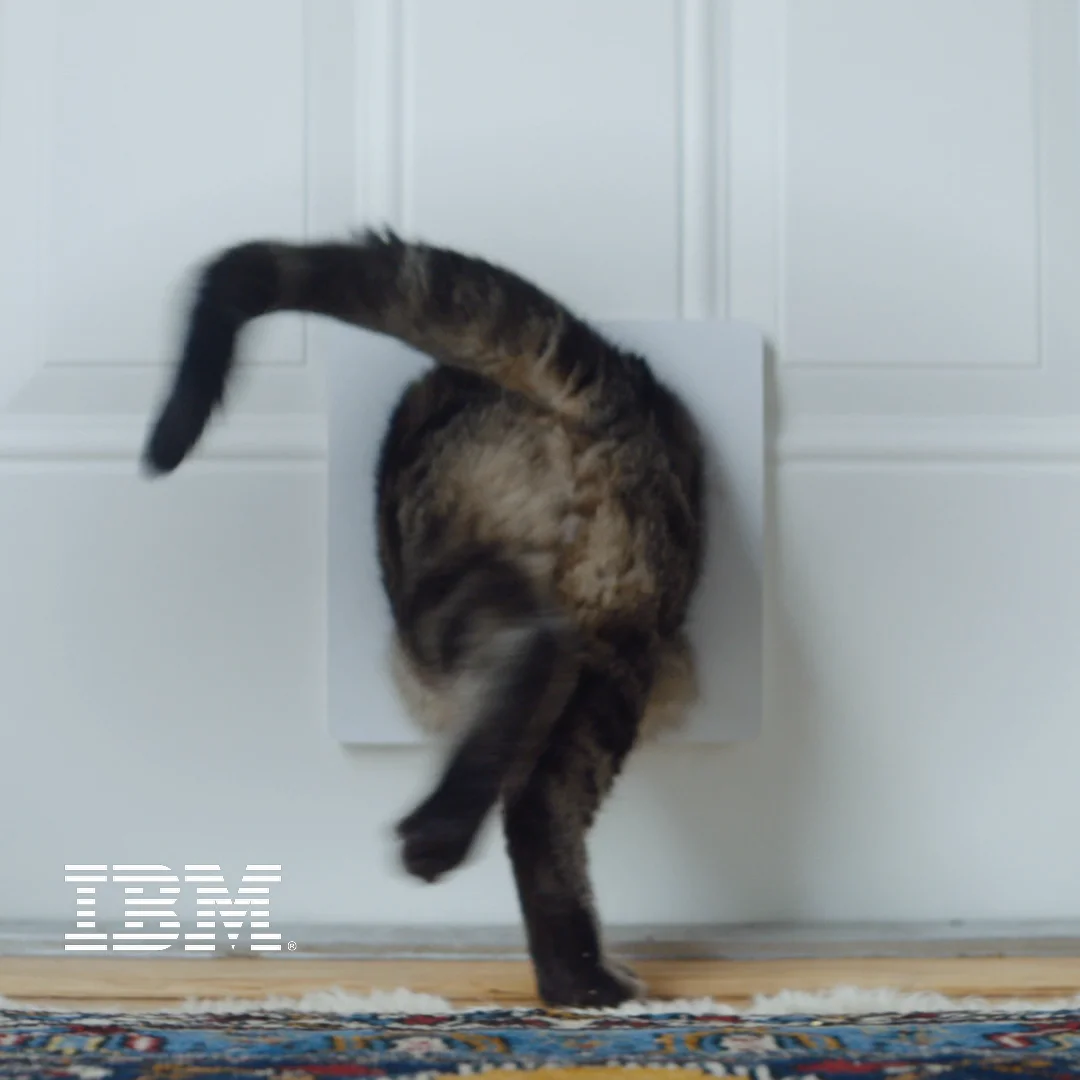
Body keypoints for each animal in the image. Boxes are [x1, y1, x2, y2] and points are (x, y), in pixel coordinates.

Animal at [143, 229, 707, 1006]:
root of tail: (585, 386)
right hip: (612, 636)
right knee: (541, 798)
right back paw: (577, 976)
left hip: (445, 592)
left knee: (523, 661)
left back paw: (443, 846)